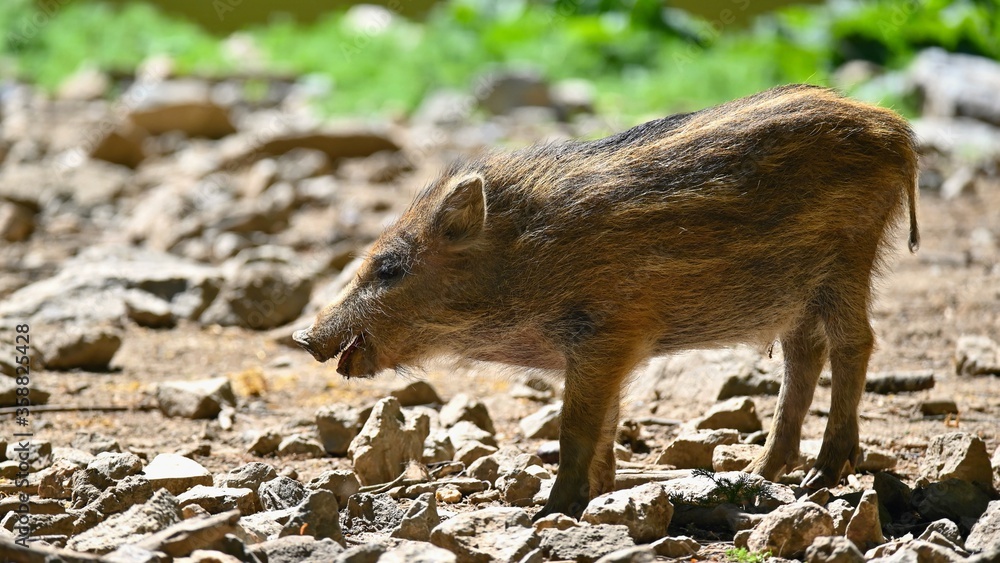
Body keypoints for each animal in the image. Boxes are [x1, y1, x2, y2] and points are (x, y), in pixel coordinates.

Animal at [293, 84, 919, 519]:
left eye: (390, 268)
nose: (305, 337)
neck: (524, 261)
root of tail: (897, 130)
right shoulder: (608, 350)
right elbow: (606, 427)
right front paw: (596, 498)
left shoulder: (606, 335)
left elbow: (575, 428)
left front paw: (549, 511)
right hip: (796, 293)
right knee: (803, 356)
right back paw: (763, 471)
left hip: (848, 261)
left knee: (855, 344)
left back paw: (822, 475)